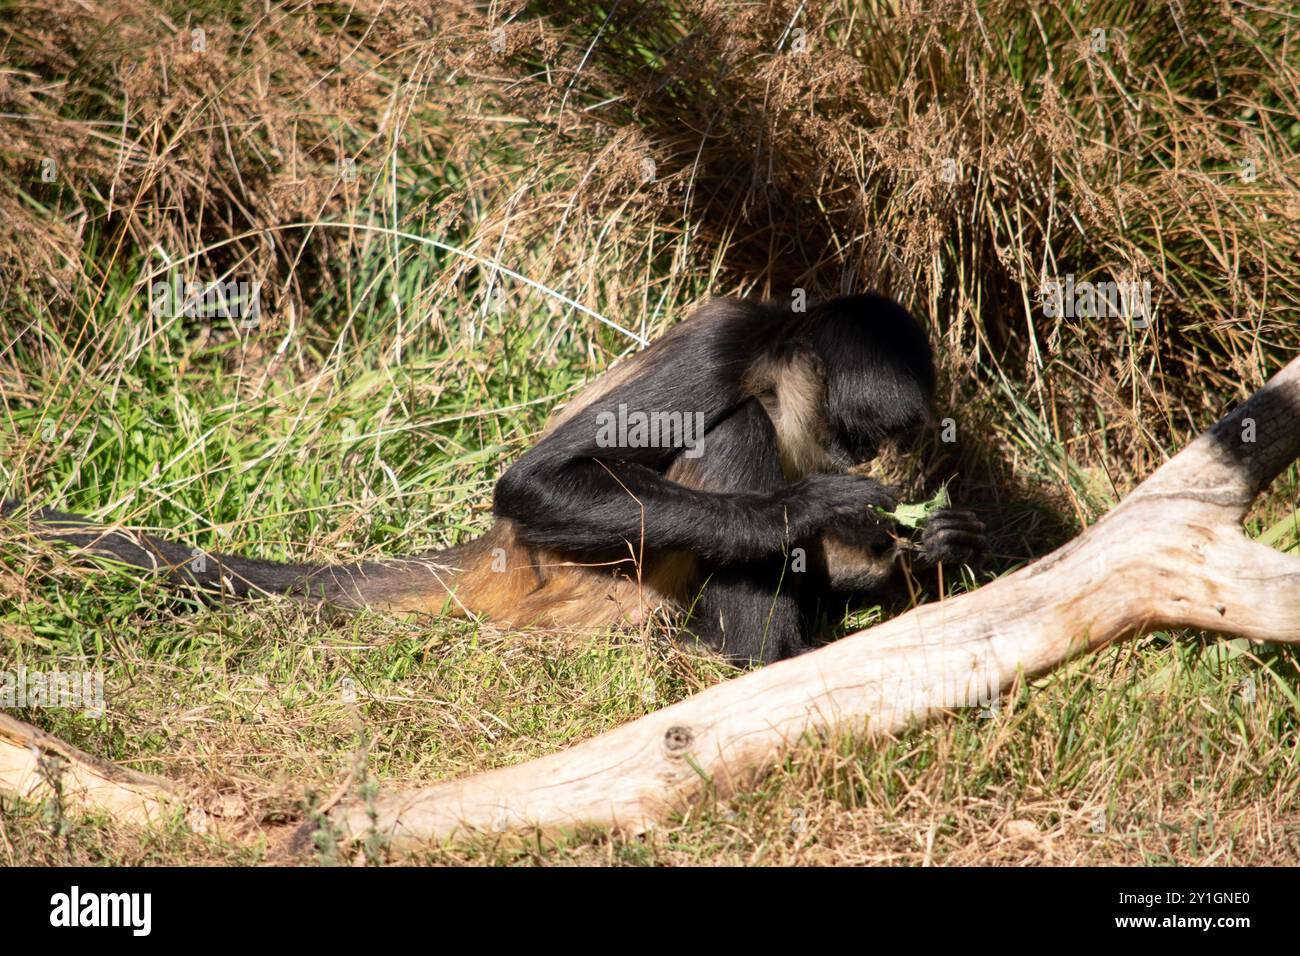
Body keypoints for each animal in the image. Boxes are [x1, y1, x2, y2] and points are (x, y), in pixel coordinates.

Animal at [2, 293, 985, 665]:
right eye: (859, 433)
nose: (862, 464)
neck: (783, 357)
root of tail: (504, 561)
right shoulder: (727, 339)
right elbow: (535, 483)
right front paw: (802, 506)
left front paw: (924, 548)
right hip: (598, 588)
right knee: (734, 431)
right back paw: (756, 667)